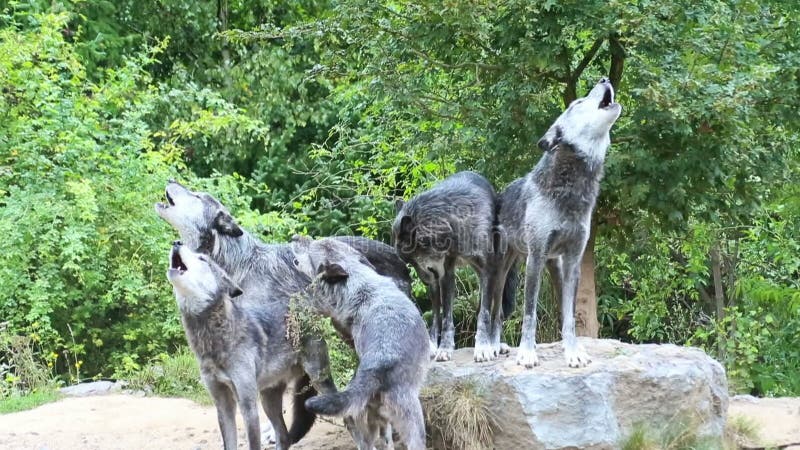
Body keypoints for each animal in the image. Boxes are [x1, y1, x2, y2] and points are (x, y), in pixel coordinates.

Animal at [167, 241, 306, 450]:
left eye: (202, 259)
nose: (176, 242)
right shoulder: (223, 405)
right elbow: (229, 443)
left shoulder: (248, 406)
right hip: (268, 400)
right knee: (283, 436)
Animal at [291, 236, 429, 450]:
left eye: (312, 243)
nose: (295, 237)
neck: (359, 282)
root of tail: (375, 368)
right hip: (413, 424)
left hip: (369, 421)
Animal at [392, 171, 517, 362]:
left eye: (412, 259)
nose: (424, 281)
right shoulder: (446, 273)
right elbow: (446, 318)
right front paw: (444, 349)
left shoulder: (488, 270)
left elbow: (484, 314)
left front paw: (483, 347)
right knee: (436, 316)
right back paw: (431, 346)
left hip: (499, 274)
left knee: (498, 313)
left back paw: (496, 344)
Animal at [493, 77, 622, 368]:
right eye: (577, 103)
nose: (604, 79)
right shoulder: (536, 258)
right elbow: (530, 314)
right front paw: (527, 353)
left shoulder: (573, 261)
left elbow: (570, 317)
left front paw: (573, 353)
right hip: (500, 272)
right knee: (490, 309)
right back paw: (490, 346)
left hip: (546, 268)